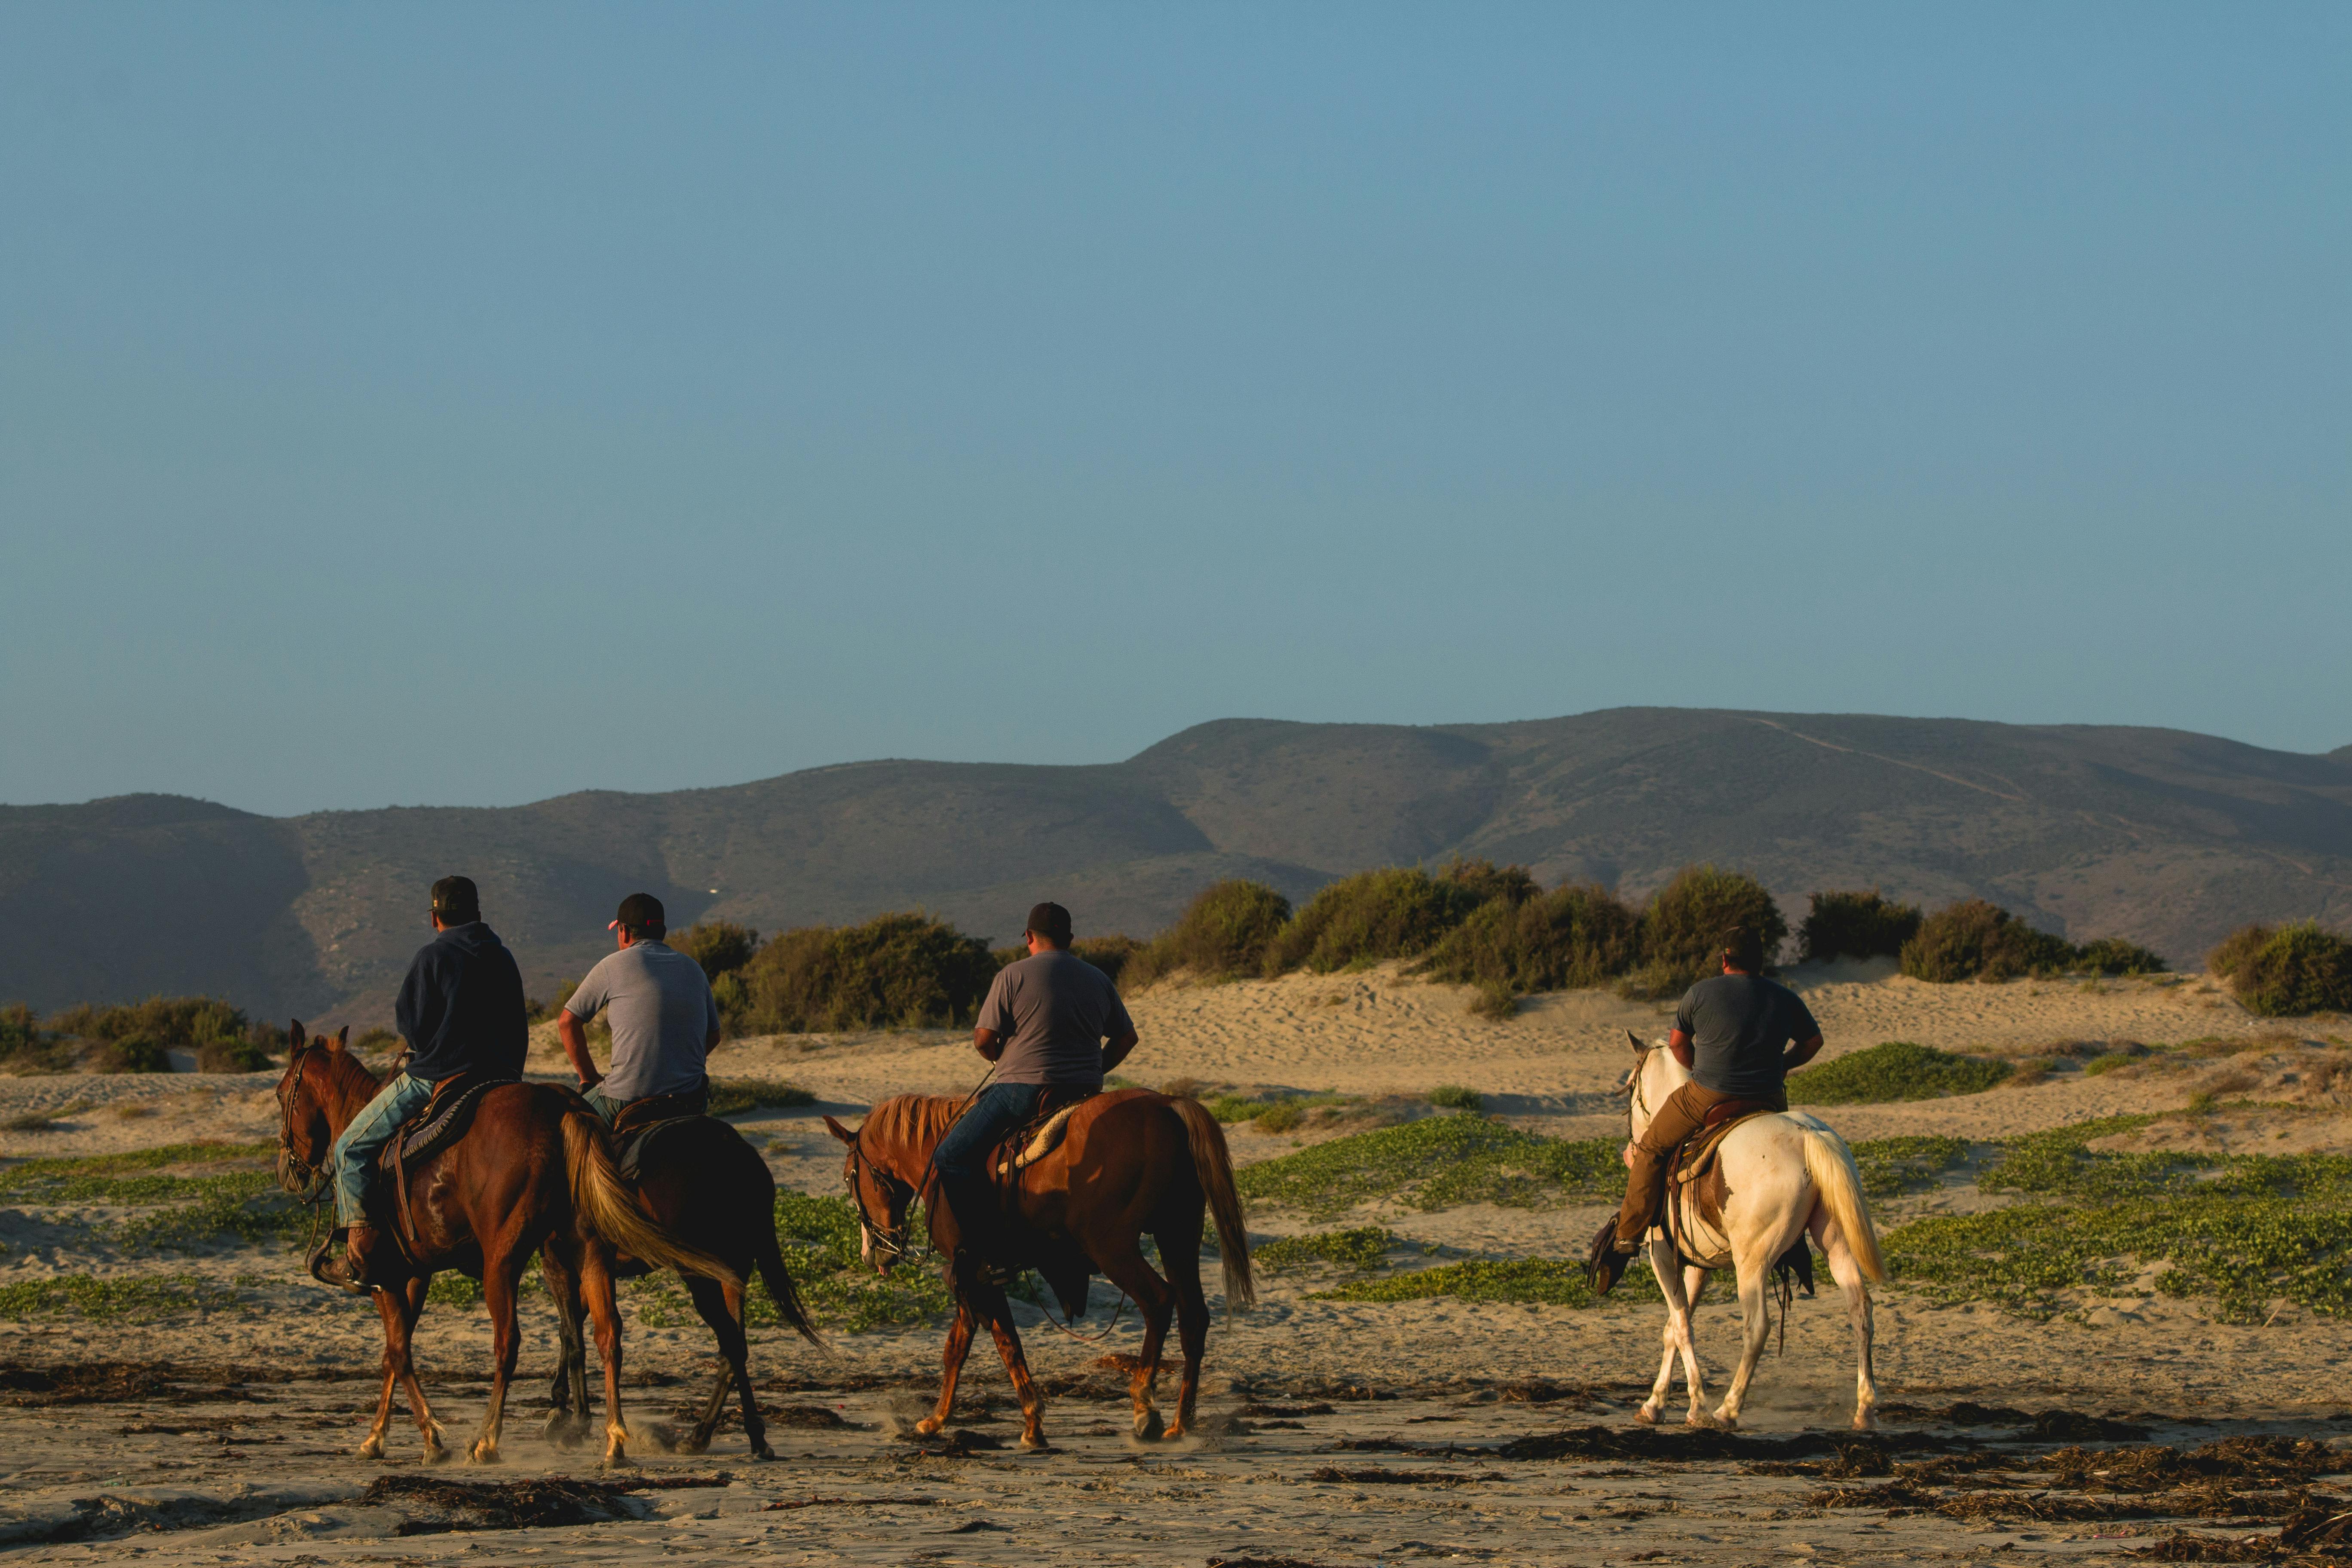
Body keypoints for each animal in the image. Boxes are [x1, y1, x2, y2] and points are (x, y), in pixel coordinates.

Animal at [273, 1021, 737, 1465]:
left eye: (280, 1095)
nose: (285, 1171)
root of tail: (560, 1106)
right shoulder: (414, 1275)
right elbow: (392, 1354)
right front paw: (376, 1438)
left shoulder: (382, 1277)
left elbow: (399, 1352)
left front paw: (431, 1438)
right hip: (588, 1251)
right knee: (609, 1334)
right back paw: (613, 1442)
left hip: (503, 1260)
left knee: (507, 1342)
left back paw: (487, 1441)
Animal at [542, 1116, 824, 1458]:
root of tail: (738, 1154)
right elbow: (570, 1329)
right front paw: (561, 1409)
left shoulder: (560, 1262)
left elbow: (572, 1336)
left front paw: (572, 1419)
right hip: (734, 1271)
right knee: (736, 1346)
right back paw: (748, 1437)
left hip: (698, 1273)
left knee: (731, 1344)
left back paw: (702, 1436)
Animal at [824, 1088, 1253, 1449]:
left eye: (848, 1178)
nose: (872, 1254)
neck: (936, 1161)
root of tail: (1167, 1105)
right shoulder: (975, 1277)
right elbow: (964, 1346)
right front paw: (939, 1420)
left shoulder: (974, 1274)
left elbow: (1001, 1345)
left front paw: (1028, 1423)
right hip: (1178, 1234)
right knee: (1193, 1317)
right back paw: (1182, 1423)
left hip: (1112, 1246)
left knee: (1159, 1301)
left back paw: (1144, 1406)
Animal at [1618, 1029, 1887, 1431]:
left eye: (1631, 1086)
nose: (1631, 1149)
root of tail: (1806, 1136)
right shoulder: (1697, 1267)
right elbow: (1673, 1329)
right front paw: (1656, 1404)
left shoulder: (1664, 1257)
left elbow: (1681, 1327)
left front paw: (1696, 1406)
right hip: (1836, 1242)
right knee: (1861, 1311)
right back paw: (1865, 1409)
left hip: (1753, 1262)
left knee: (1757, 1327)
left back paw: (1727, 1410)